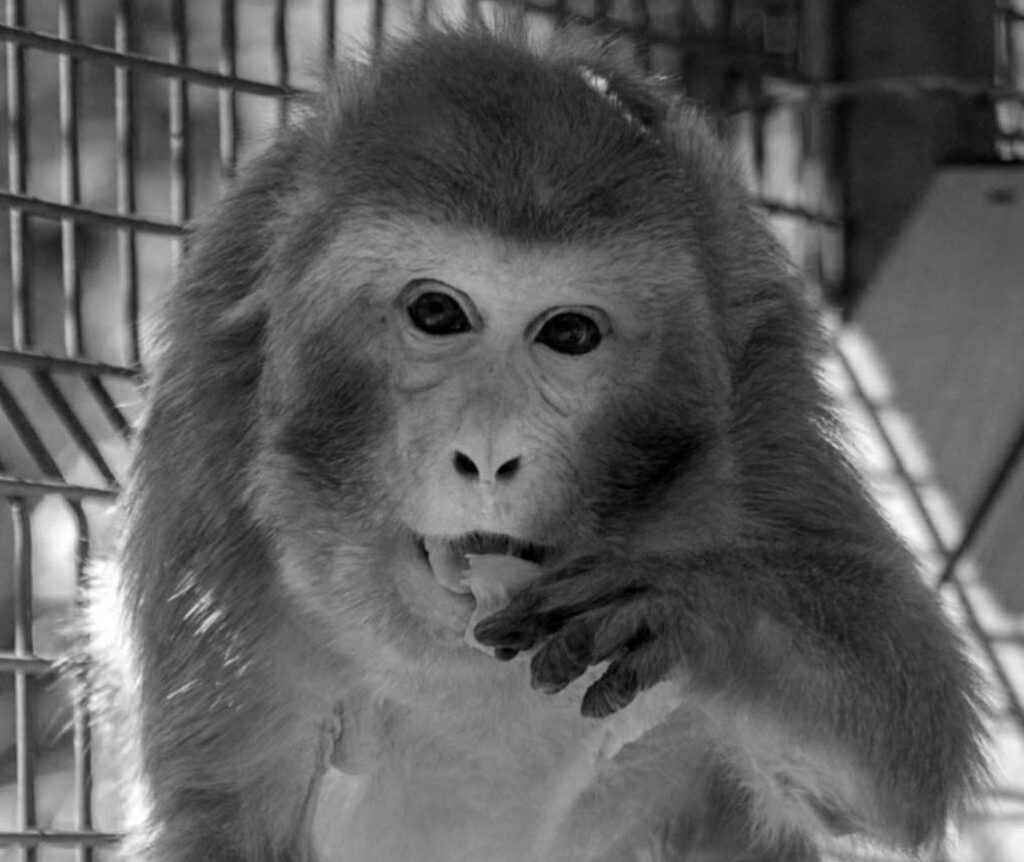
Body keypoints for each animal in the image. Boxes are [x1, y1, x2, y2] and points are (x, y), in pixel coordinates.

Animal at [84, 23, 987, 862]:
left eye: (569, 332)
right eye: (437, 312)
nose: (488, 453)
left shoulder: (762, 427)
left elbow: (906, 752)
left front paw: (695, 610)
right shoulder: (207, 490)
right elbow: (221, 823)